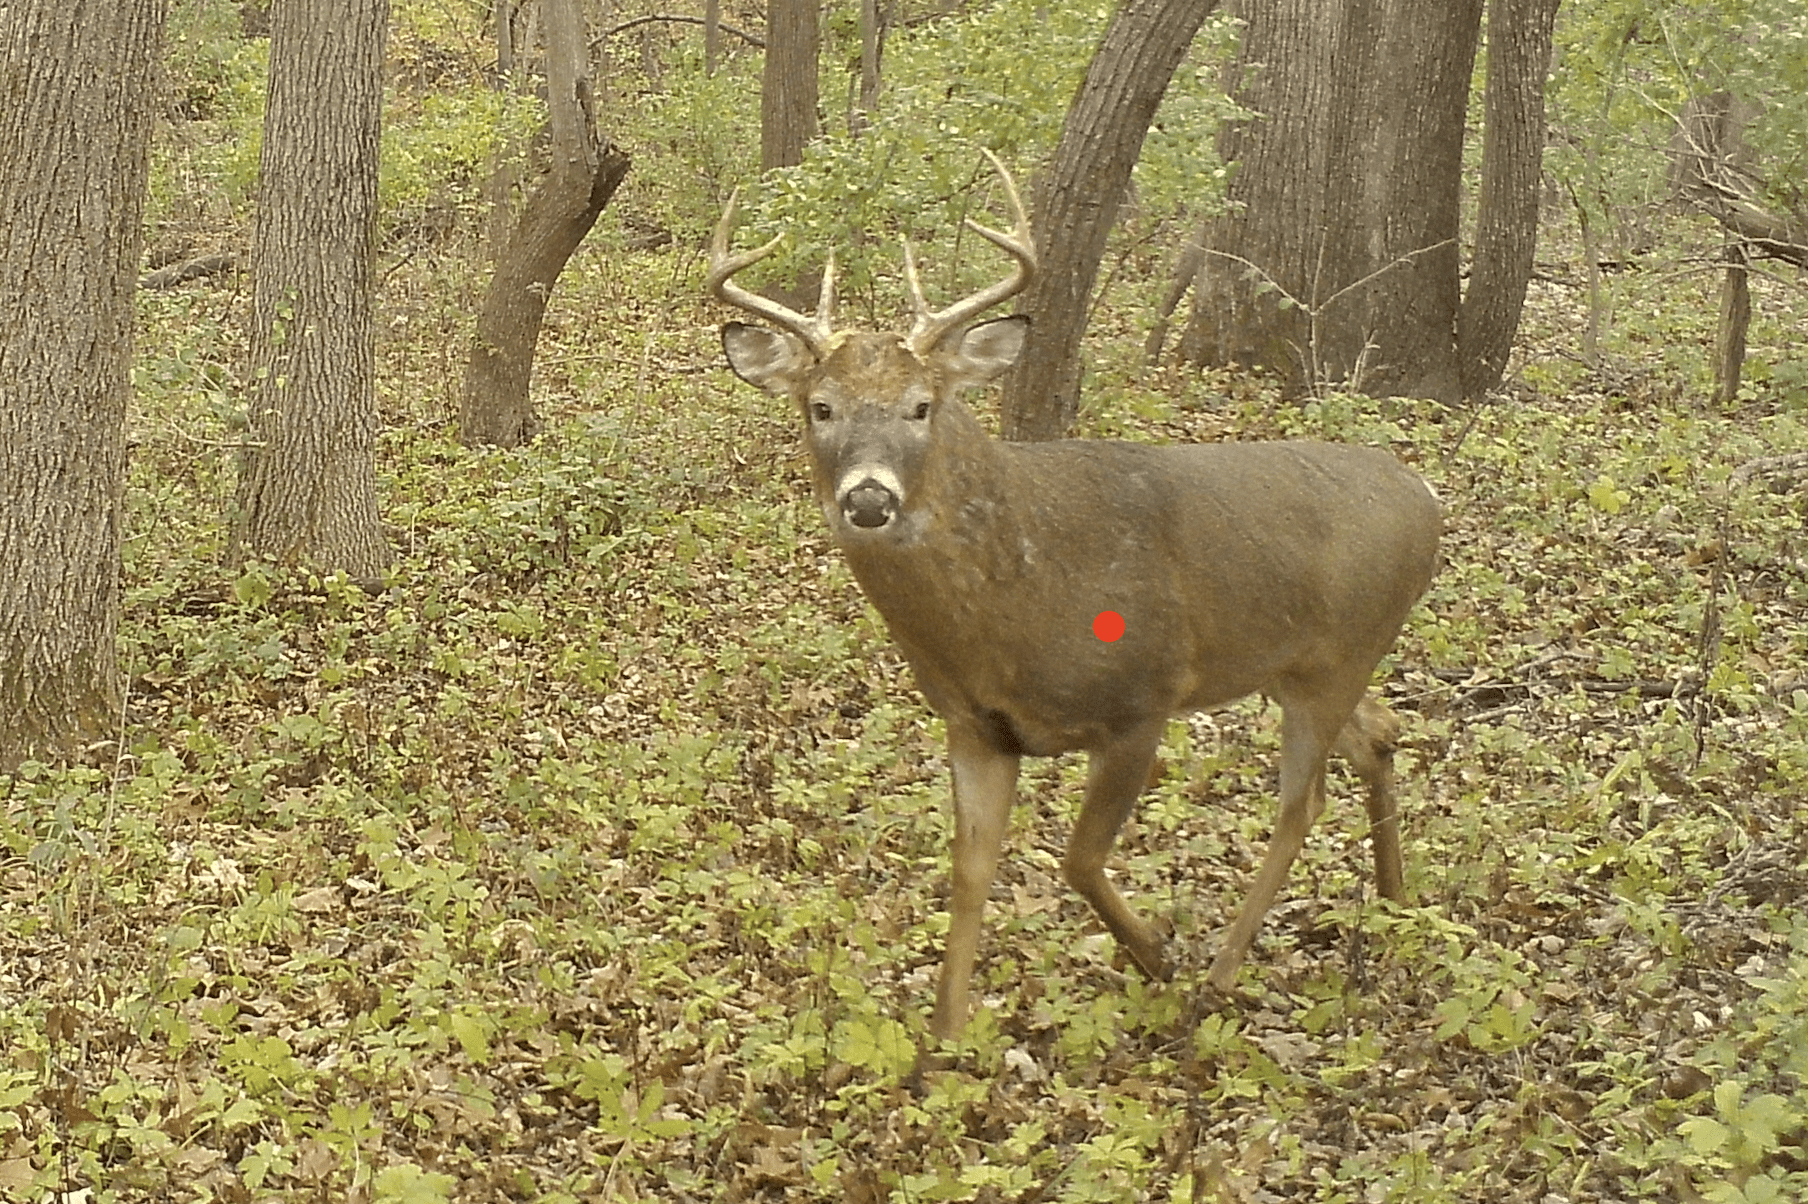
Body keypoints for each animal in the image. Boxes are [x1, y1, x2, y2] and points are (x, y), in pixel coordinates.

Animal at [708, 153, 1442, 1052]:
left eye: (923, 406)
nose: (869, 499)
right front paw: (942, 1044)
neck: (1014, 606)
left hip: (1340, 658)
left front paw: (1156, 957)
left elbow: (1077, 858)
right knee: (1381, 734)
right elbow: (969, 871)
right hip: (1300, 664)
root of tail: (1427, 499)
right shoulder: (978, 728)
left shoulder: (1140, 699)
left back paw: (1221, 973)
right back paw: (1396, 900)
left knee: (1300, 803)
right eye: (820, 407)